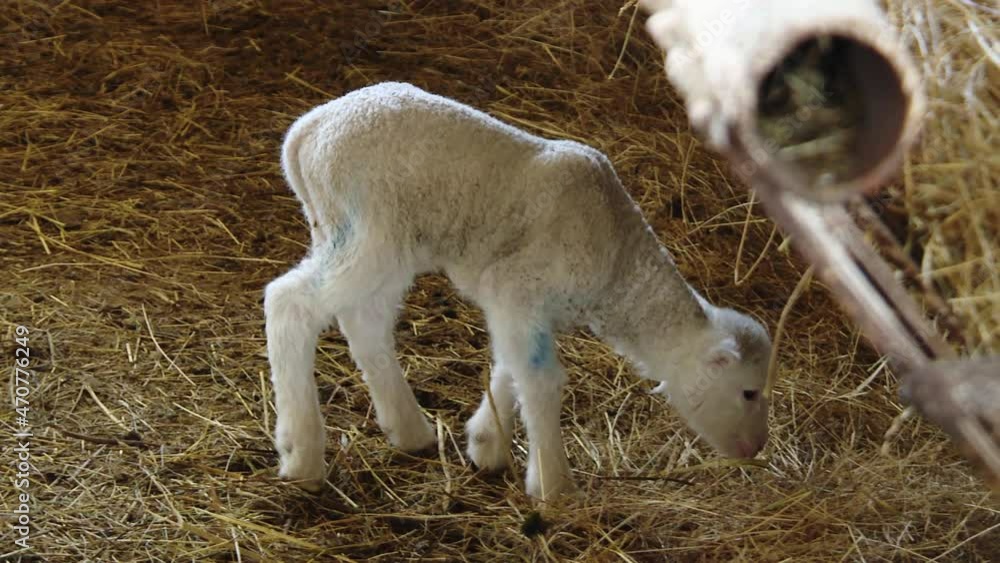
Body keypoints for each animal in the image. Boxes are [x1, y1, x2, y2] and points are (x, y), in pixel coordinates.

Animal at [264, 82, 772, 500]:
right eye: (748, 392)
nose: (756, 448)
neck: (617, 264)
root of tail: (307, 130)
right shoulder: (517, 285)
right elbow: (542, 380)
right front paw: (554, 485)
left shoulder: (521, 305)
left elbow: (512, 364)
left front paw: (486, 443)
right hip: (368, 227)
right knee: (290, 302)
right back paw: (301, 452)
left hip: (363, 235)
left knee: (363, 321)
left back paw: (408, 429)